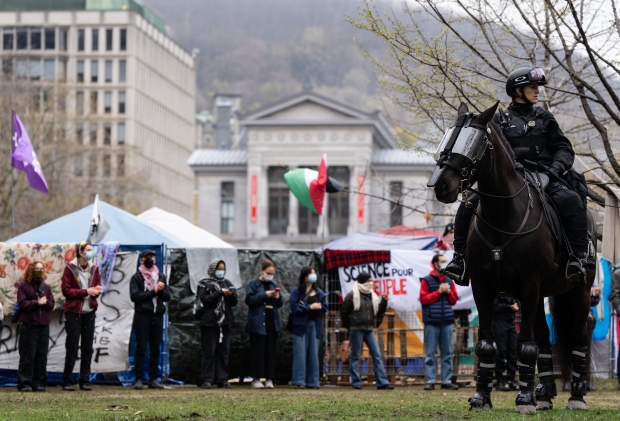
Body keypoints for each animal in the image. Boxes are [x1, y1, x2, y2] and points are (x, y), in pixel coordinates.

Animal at [428, 102, 600, 414]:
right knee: (543, 338)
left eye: (474, 142)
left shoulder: (529, 286)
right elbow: (487, 345)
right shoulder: (483, 287)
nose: (442, 186)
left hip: (579, 289)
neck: (503, 214)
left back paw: (576, 395)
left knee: (579, 337)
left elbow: (524, 345)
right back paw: (544, 393)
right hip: (544, 293)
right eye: (449, 138)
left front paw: (523, 399)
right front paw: (481, 398)